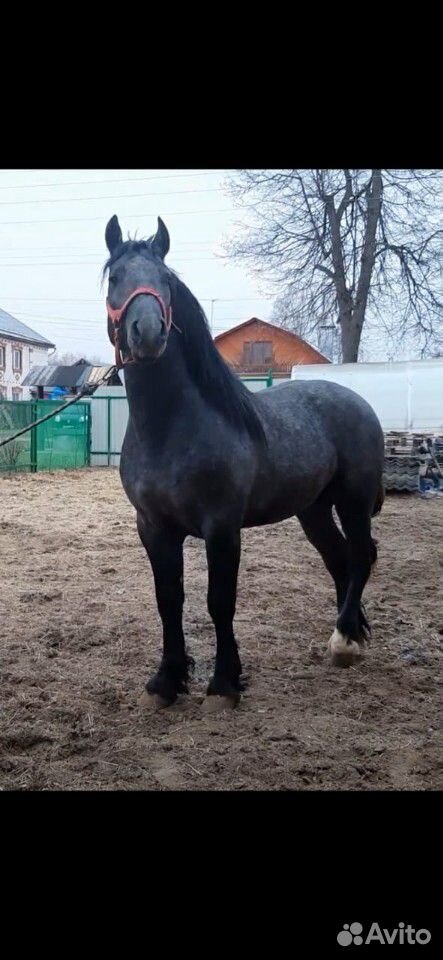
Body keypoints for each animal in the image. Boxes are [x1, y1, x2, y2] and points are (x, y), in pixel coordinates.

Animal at [103, 214, 385, 711]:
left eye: (166, 282)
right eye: (115, 278)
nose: (148, 334)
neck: (171, 429)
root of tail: (359, 402)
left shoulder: (222, 527)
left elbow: (220, 601)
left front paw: (224, 683)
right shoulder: (153, 527)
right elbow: (168, 599)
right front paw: (167, 681)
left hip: (352, 502)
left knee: (360, 555)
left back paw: (346, 640)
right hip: (313, 510)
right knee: (339, 559)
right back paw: (347, 634)